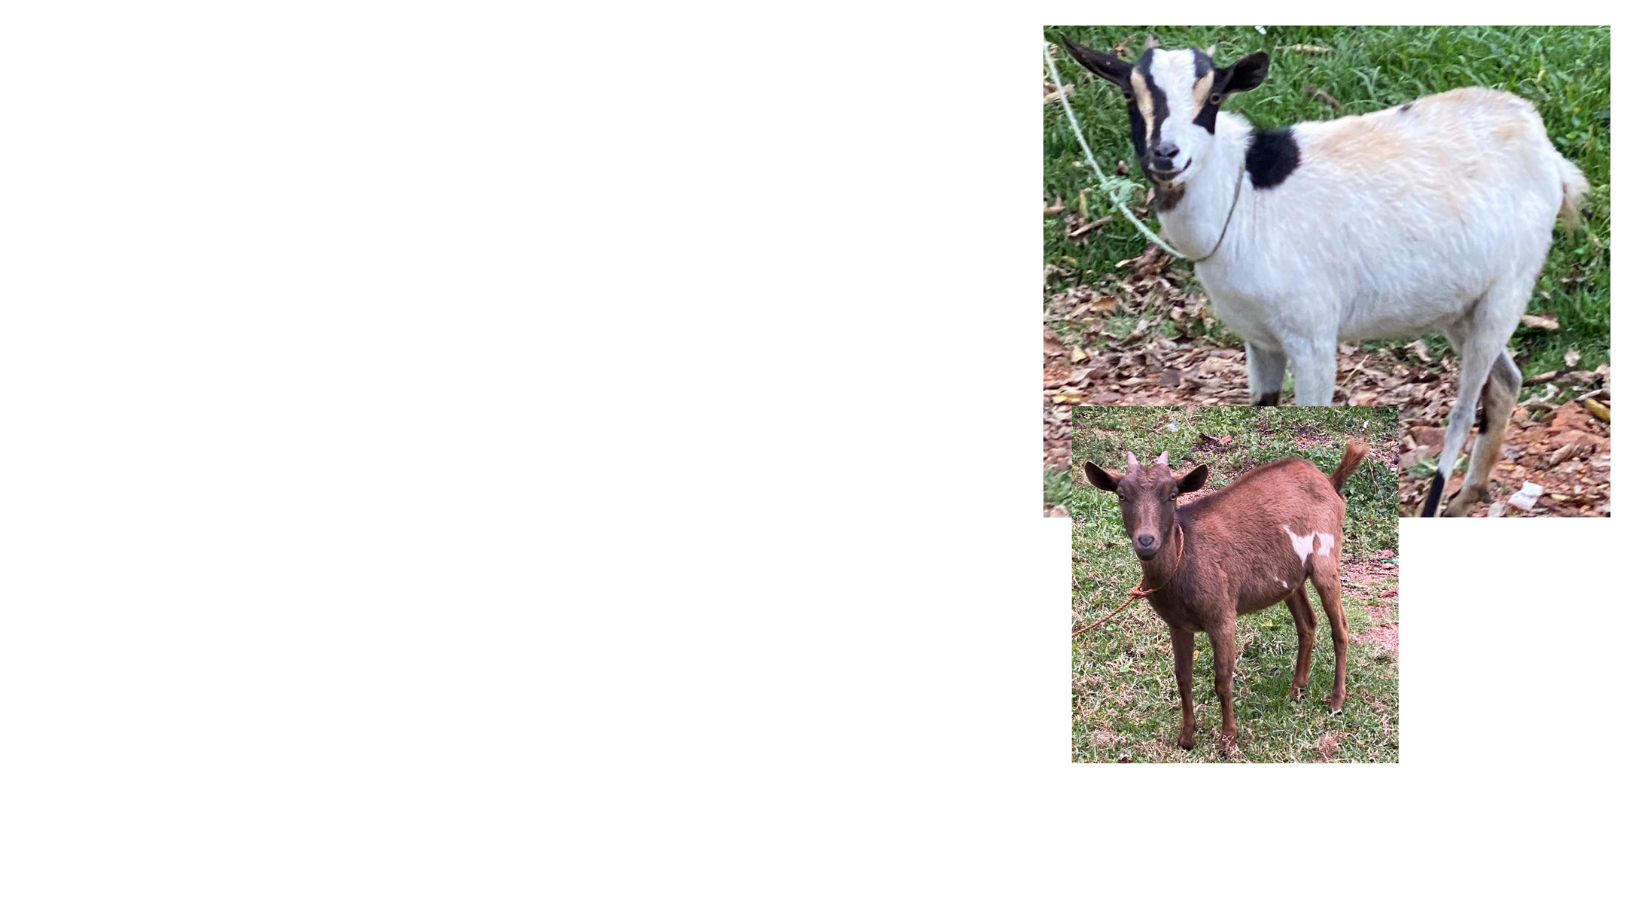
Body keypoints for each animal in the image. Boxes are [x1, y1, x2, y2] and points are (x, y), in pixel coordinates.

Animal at [1060, 36, 1590, 517]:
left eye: (1212, 98)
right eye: (1131, 96)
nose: (1166, 154)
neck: (1243, 197)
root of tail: (1546, 151)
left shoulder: (1311, 336)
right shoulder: (1260, 340)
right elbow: (1264, 404)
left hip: (1509, 286)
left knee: (1463, 410)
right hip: (1463, 307)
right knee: (1504, 383)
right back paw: (1466, 499)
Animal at [1083, 439, 1370, 751]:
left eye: (1172, 495)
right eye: (1121, 495)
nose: (1146, 541)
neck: (1185, 556)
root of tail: (1330, 481)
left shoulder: (1221, 617)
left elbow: (1222, 680)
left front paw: (1228, 738)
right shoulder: (1178, 625)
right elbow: (1183, 678)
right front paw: (1186, 737)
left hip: (1325, 560)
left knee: (1340, 628)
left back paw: (1336, 700)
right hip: (1290, 580)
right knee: (1307, 624)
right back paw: (1297, 689)